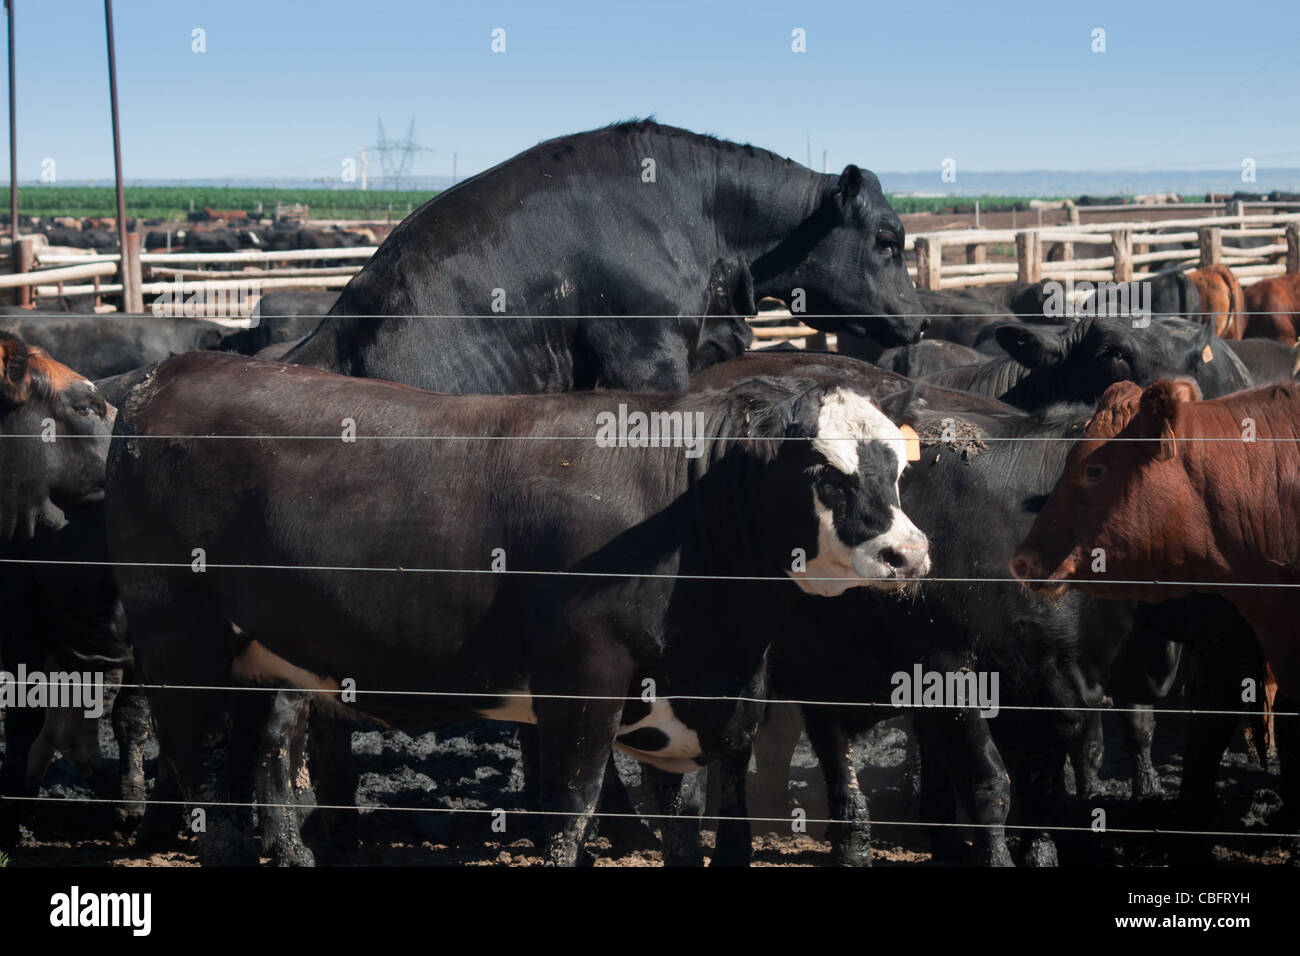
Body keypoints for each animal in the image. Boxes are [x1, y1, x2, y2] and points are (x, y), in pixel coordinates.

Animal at [105, 350, 931, 866]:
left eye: (897, 465)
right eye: (822, 473)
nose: (910, 555)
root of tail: (170, 371)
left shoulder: (689, 717)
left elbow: (690, 834)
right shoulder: (582, 690)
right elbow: (568, 824)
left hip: (256, 658)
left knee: (253, 758)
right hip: (179, 644)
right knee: (206, 782)